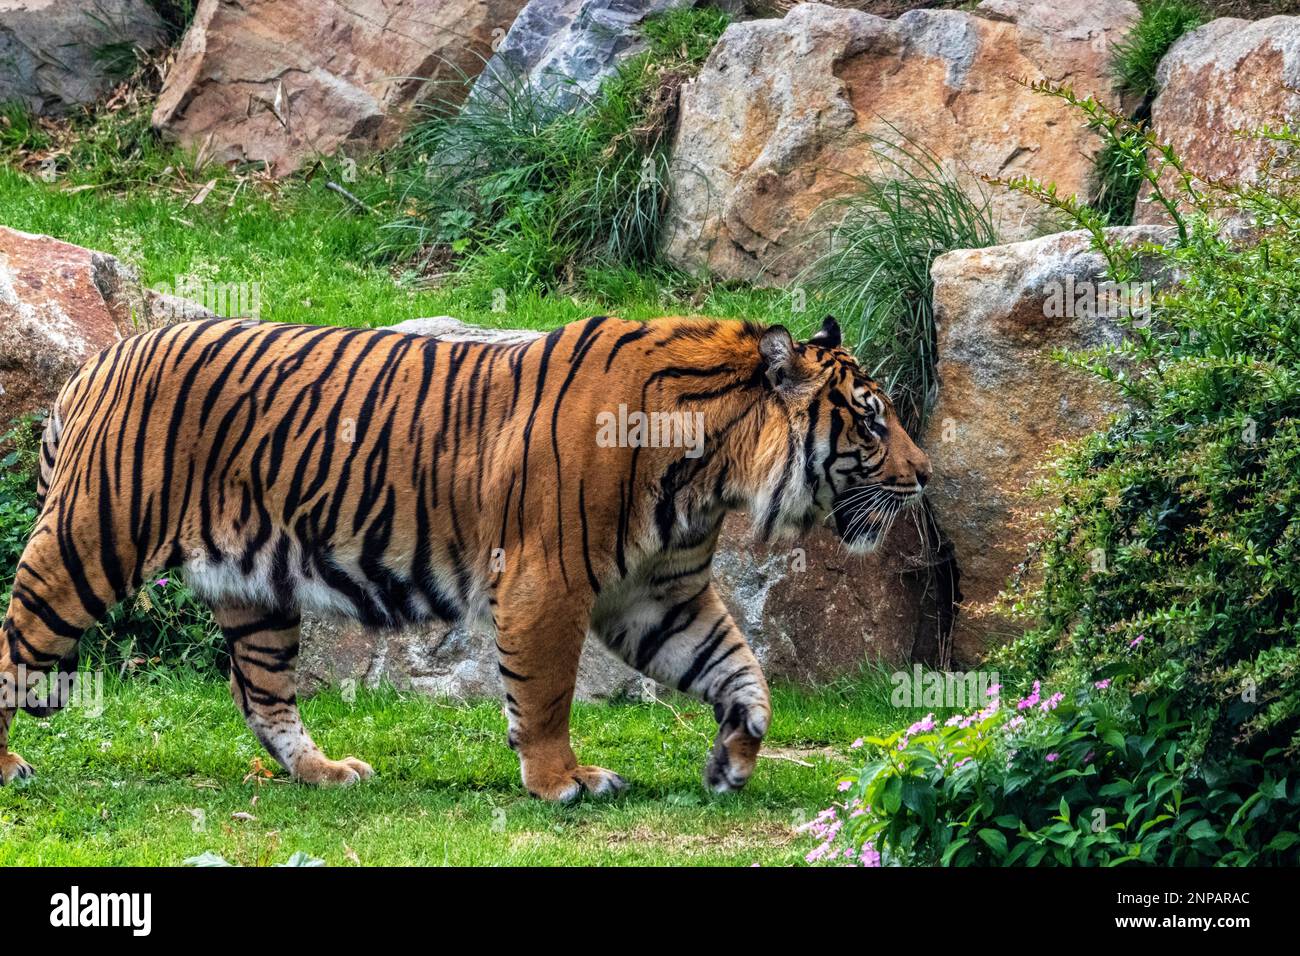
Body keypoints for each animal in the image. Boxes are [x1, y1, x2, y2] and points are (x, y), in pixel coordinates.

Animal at [0, 313, 930, 801]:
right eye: (872, 418)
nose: (924, 476)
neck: (712, 469)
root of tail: (96, 362)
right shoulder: (548, 581)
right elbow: (546, 695)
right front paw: (562, 782)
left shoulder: (660, 595)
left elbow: (739, 669)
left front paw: (734, 756)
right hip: (86, 543)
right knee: (17, 647)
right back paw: (10, 766)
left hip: (255, 585)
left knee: (262, 697)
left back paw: (327, 772)